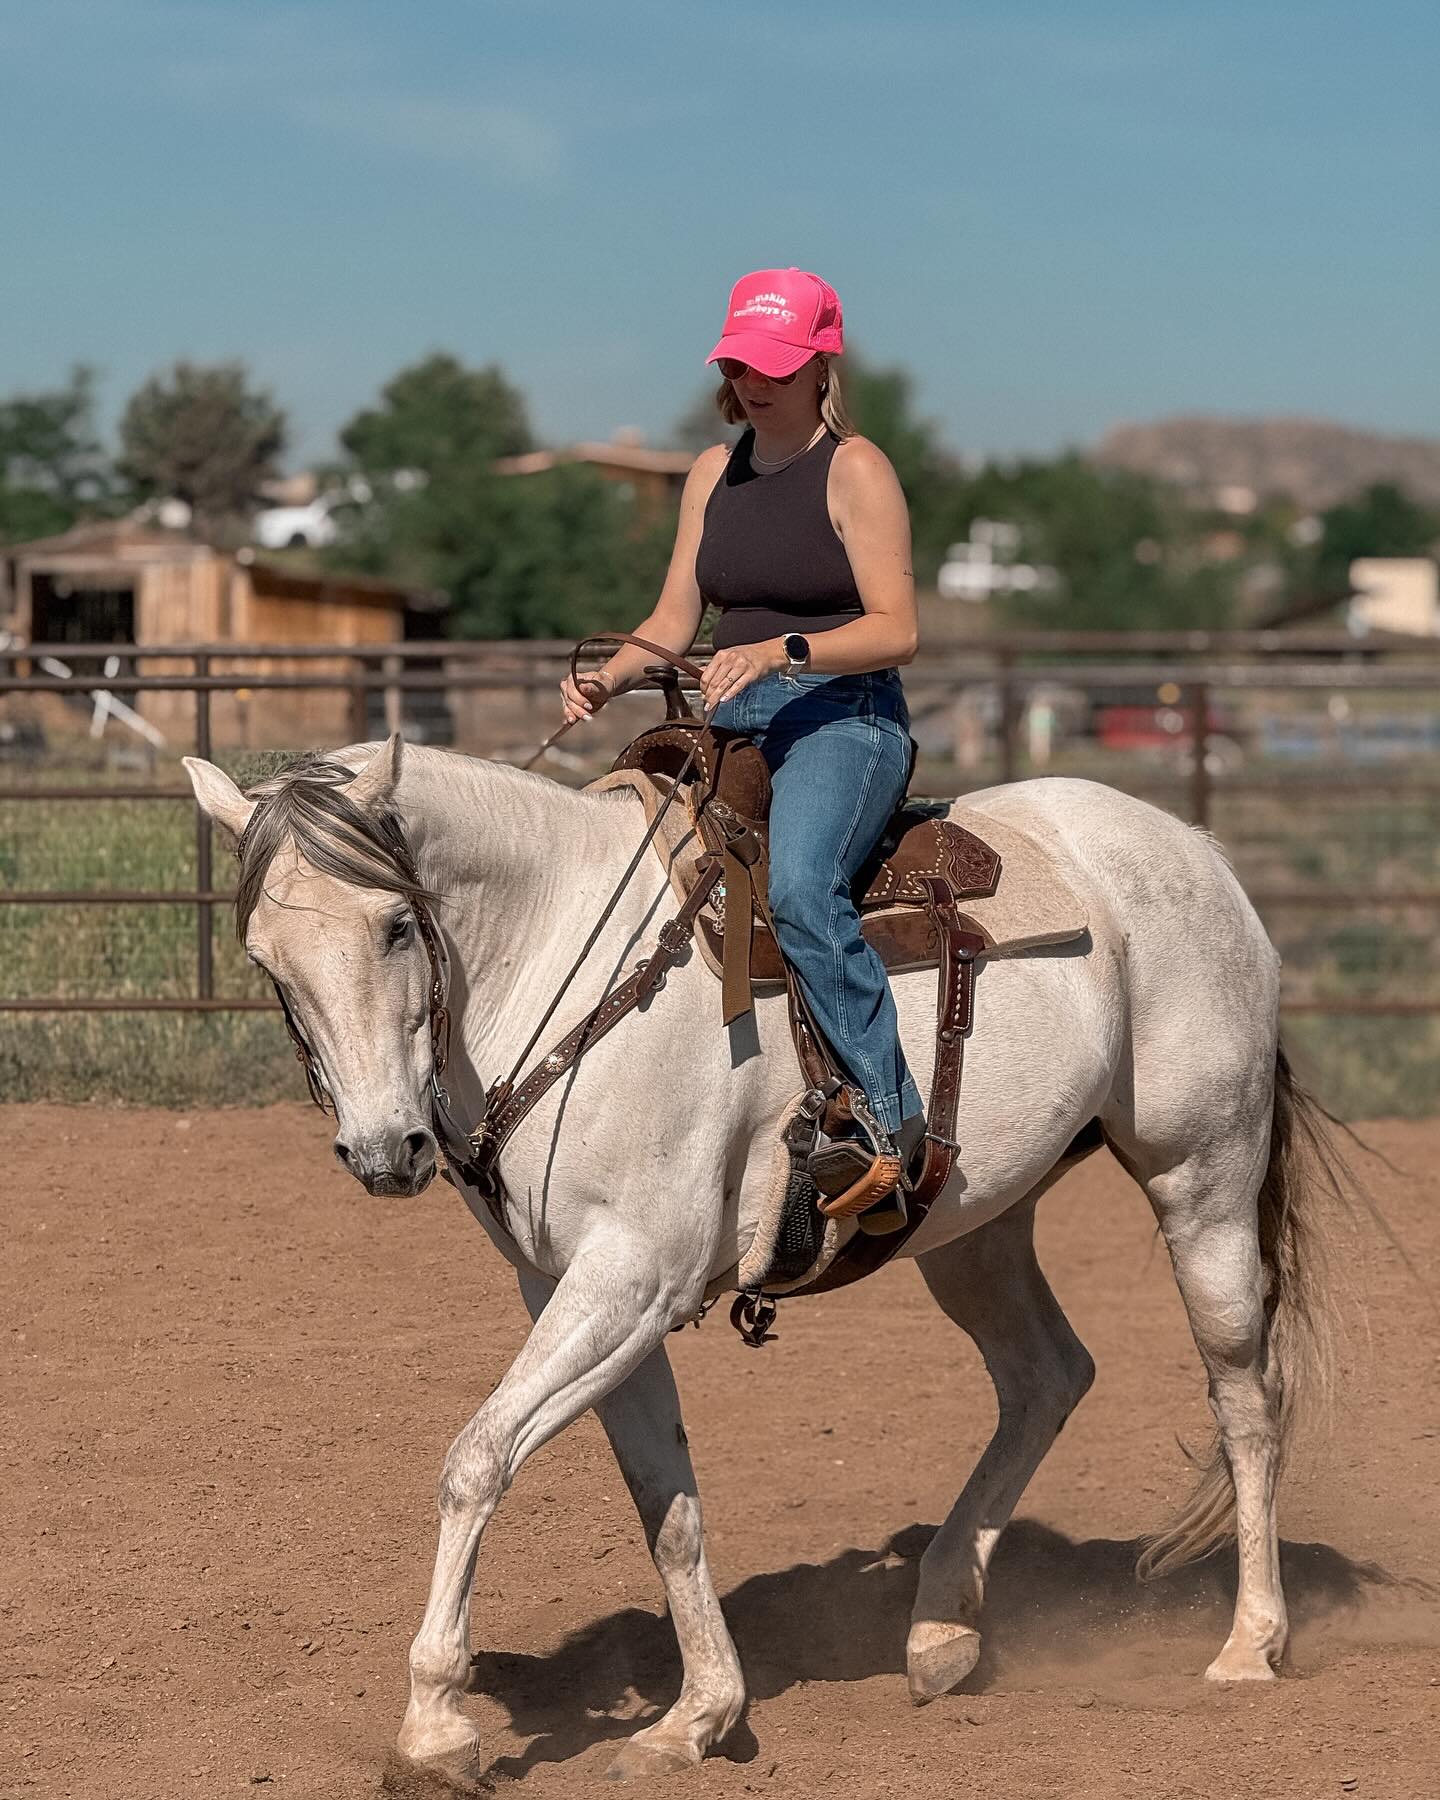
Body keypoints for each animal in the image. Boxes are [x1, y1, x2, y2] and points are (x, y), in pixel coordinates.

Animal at [184, 732, 1335, 1784]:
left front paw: (433, 1727)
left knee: (1243, 1395)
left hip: (1203, 1178)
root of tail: (1195, 850)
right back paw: (943, 1625)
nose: (387, 1150)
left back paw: (1248, 1645)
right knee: (1047, 1375)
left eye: (393, 927)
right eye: (263, 958)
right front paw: (698, 1716)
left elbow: (476, 1462)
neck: (568, 963)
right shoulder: (574, 1290)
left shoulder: (630, 1280)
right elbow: (667, 1505)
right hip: (975, 1227)